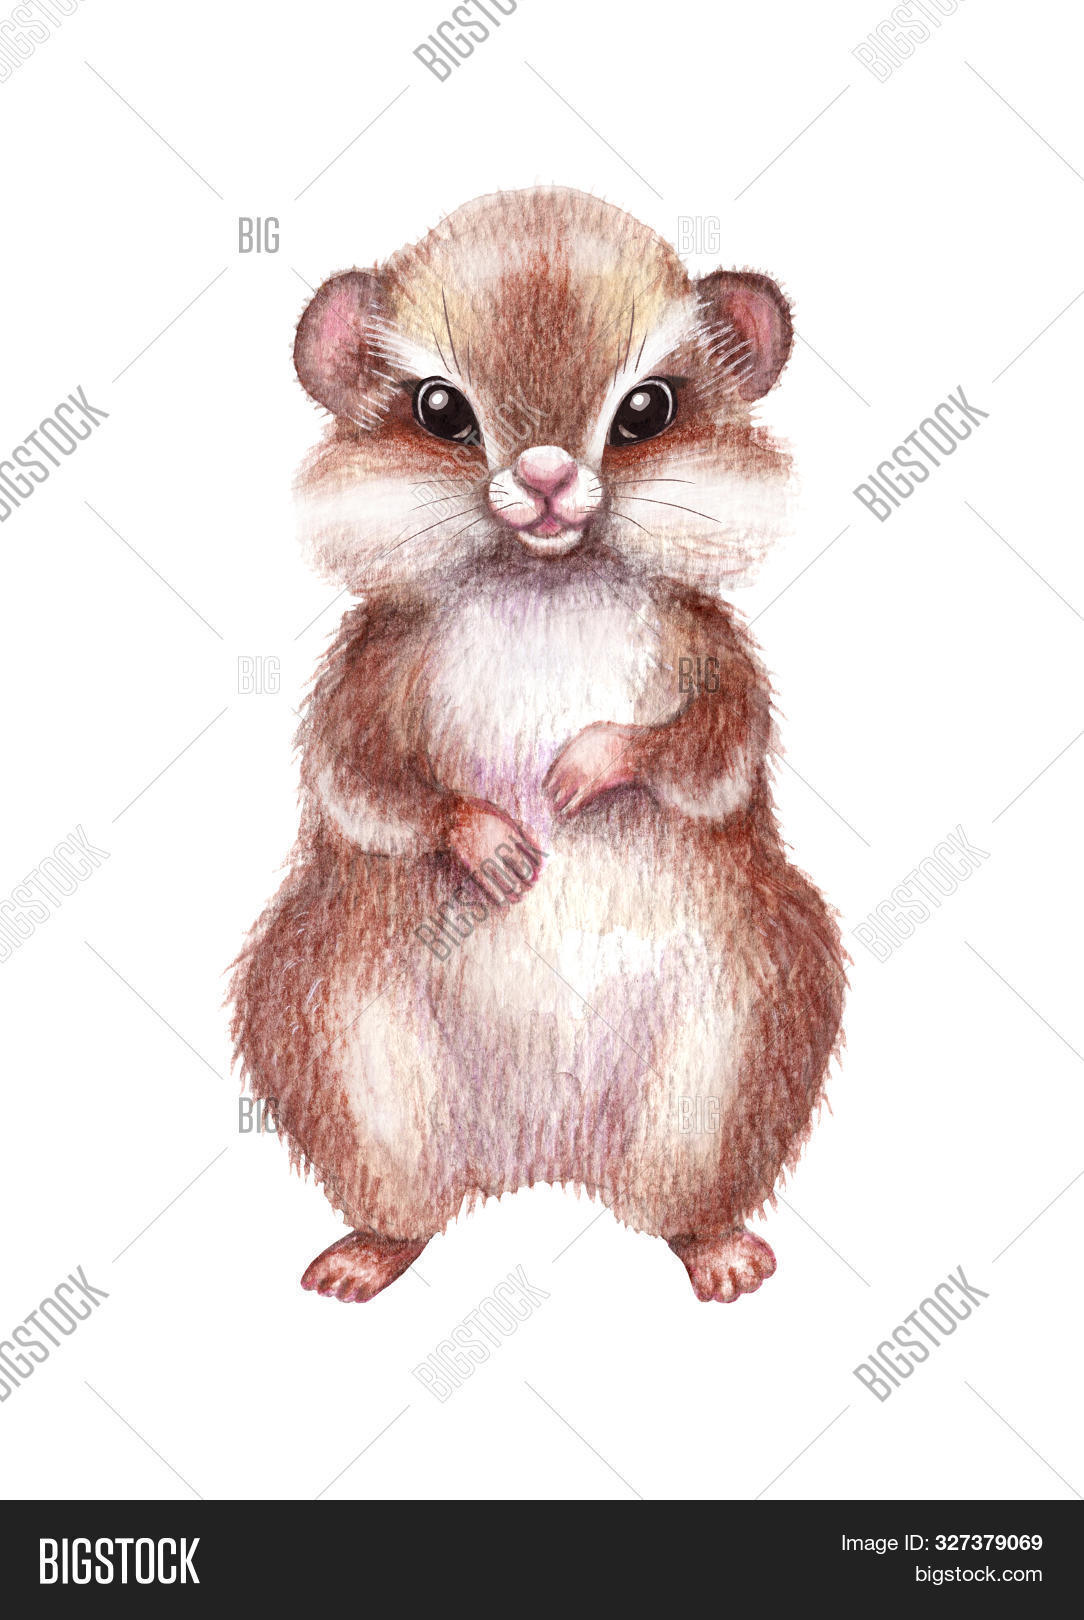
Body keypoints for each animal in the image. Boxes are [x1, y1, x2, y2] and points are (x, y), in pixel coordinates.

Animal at [230, 186, 845, 1305]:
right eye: (441, 410)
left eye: (647, 409)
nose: (550, 476)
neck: (544, 580)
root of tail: (543, 1157)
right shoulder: (363, 676)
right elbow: (363, 783)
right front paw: (494, 843)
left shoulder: (718, 661)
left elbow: (709, 750)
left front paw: (585, 768)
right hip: (347, 1051)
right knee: (402, 1202)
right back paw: (361, 1258)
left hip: (732, 1056)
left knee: (684, 1199)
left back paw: (721, 1254)